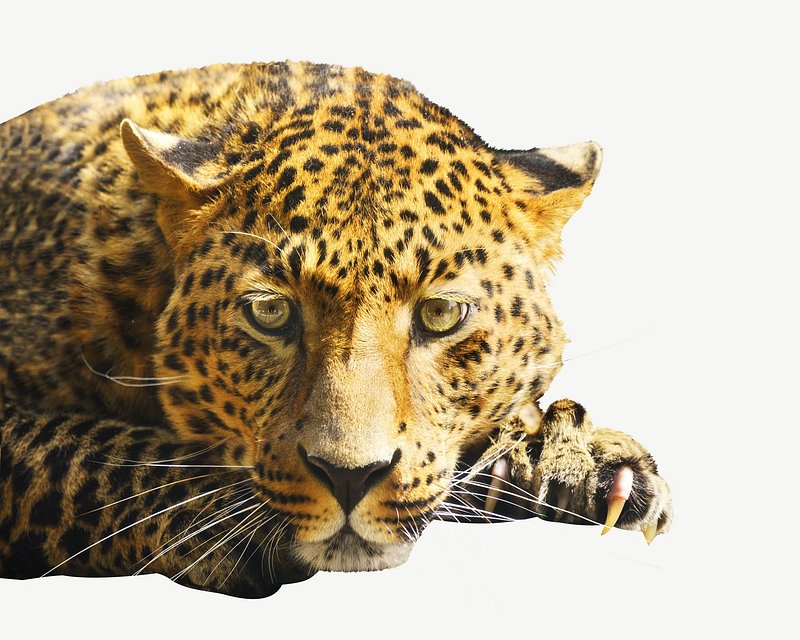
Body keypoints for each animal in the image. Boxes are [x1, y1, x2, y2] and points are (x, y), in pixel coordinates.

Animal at [0, 61, 672, 595]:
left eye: (441, 315)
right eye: (270, 313)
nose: (350, 477)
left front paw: (571, 460)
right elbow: (87, 452)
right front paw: (229, 522)